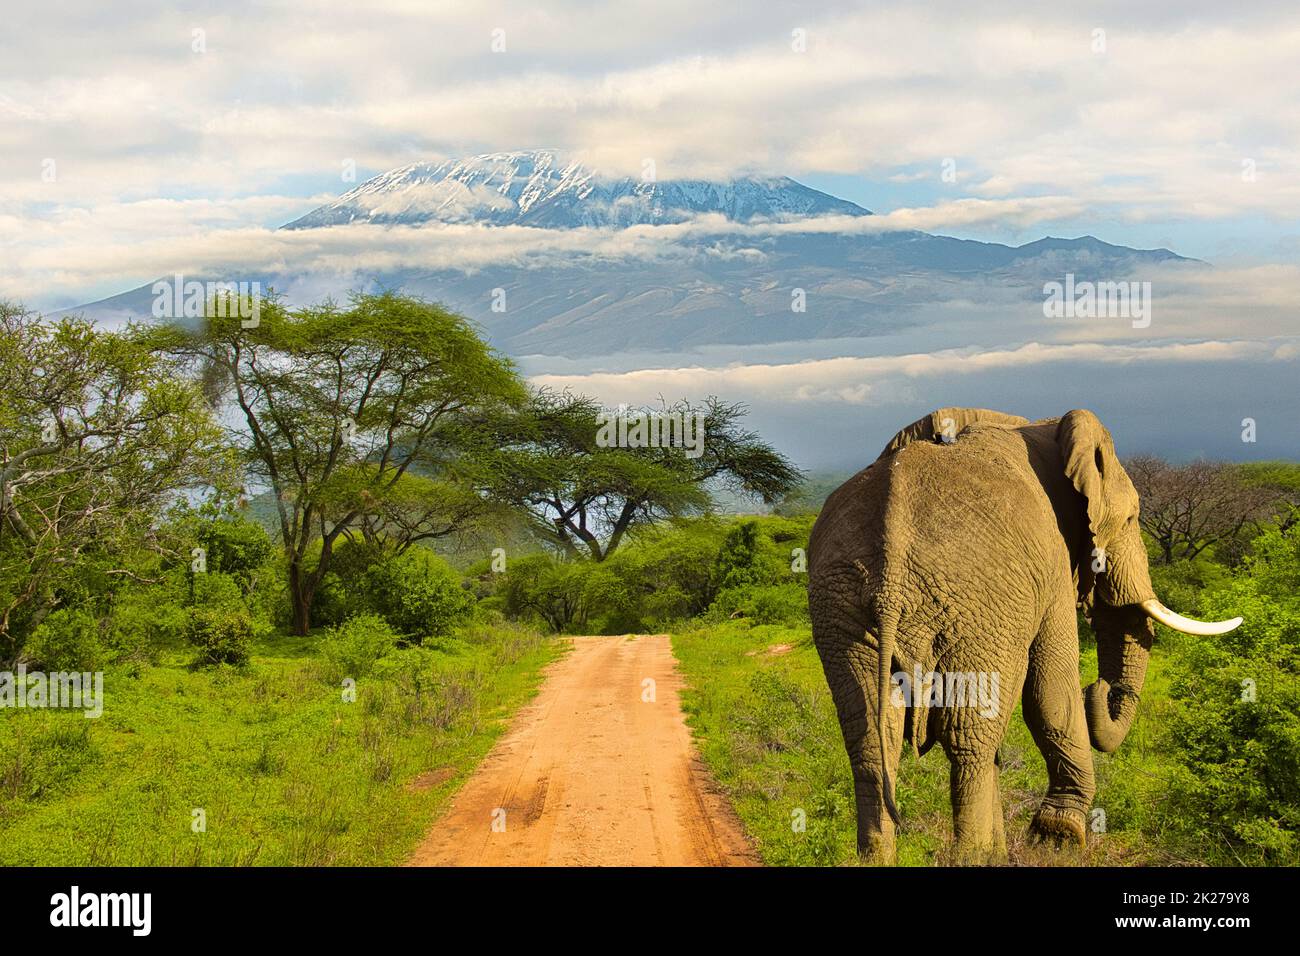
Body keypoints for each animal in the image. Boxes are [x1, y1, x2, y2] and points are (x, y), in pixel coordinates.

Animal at [807, 407, 1242, 864]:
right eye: (1130, 520)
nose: (1100, 688)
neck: (1042, 428)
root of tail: (889, 584)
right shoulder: (1052, 563)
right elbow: (1051, 690)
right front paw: (1057, 839)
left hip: (844, 611)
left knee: (873, 739)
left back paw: (880, 856)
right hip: (978, 607)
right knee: (969, 740)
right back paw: (976, 856)